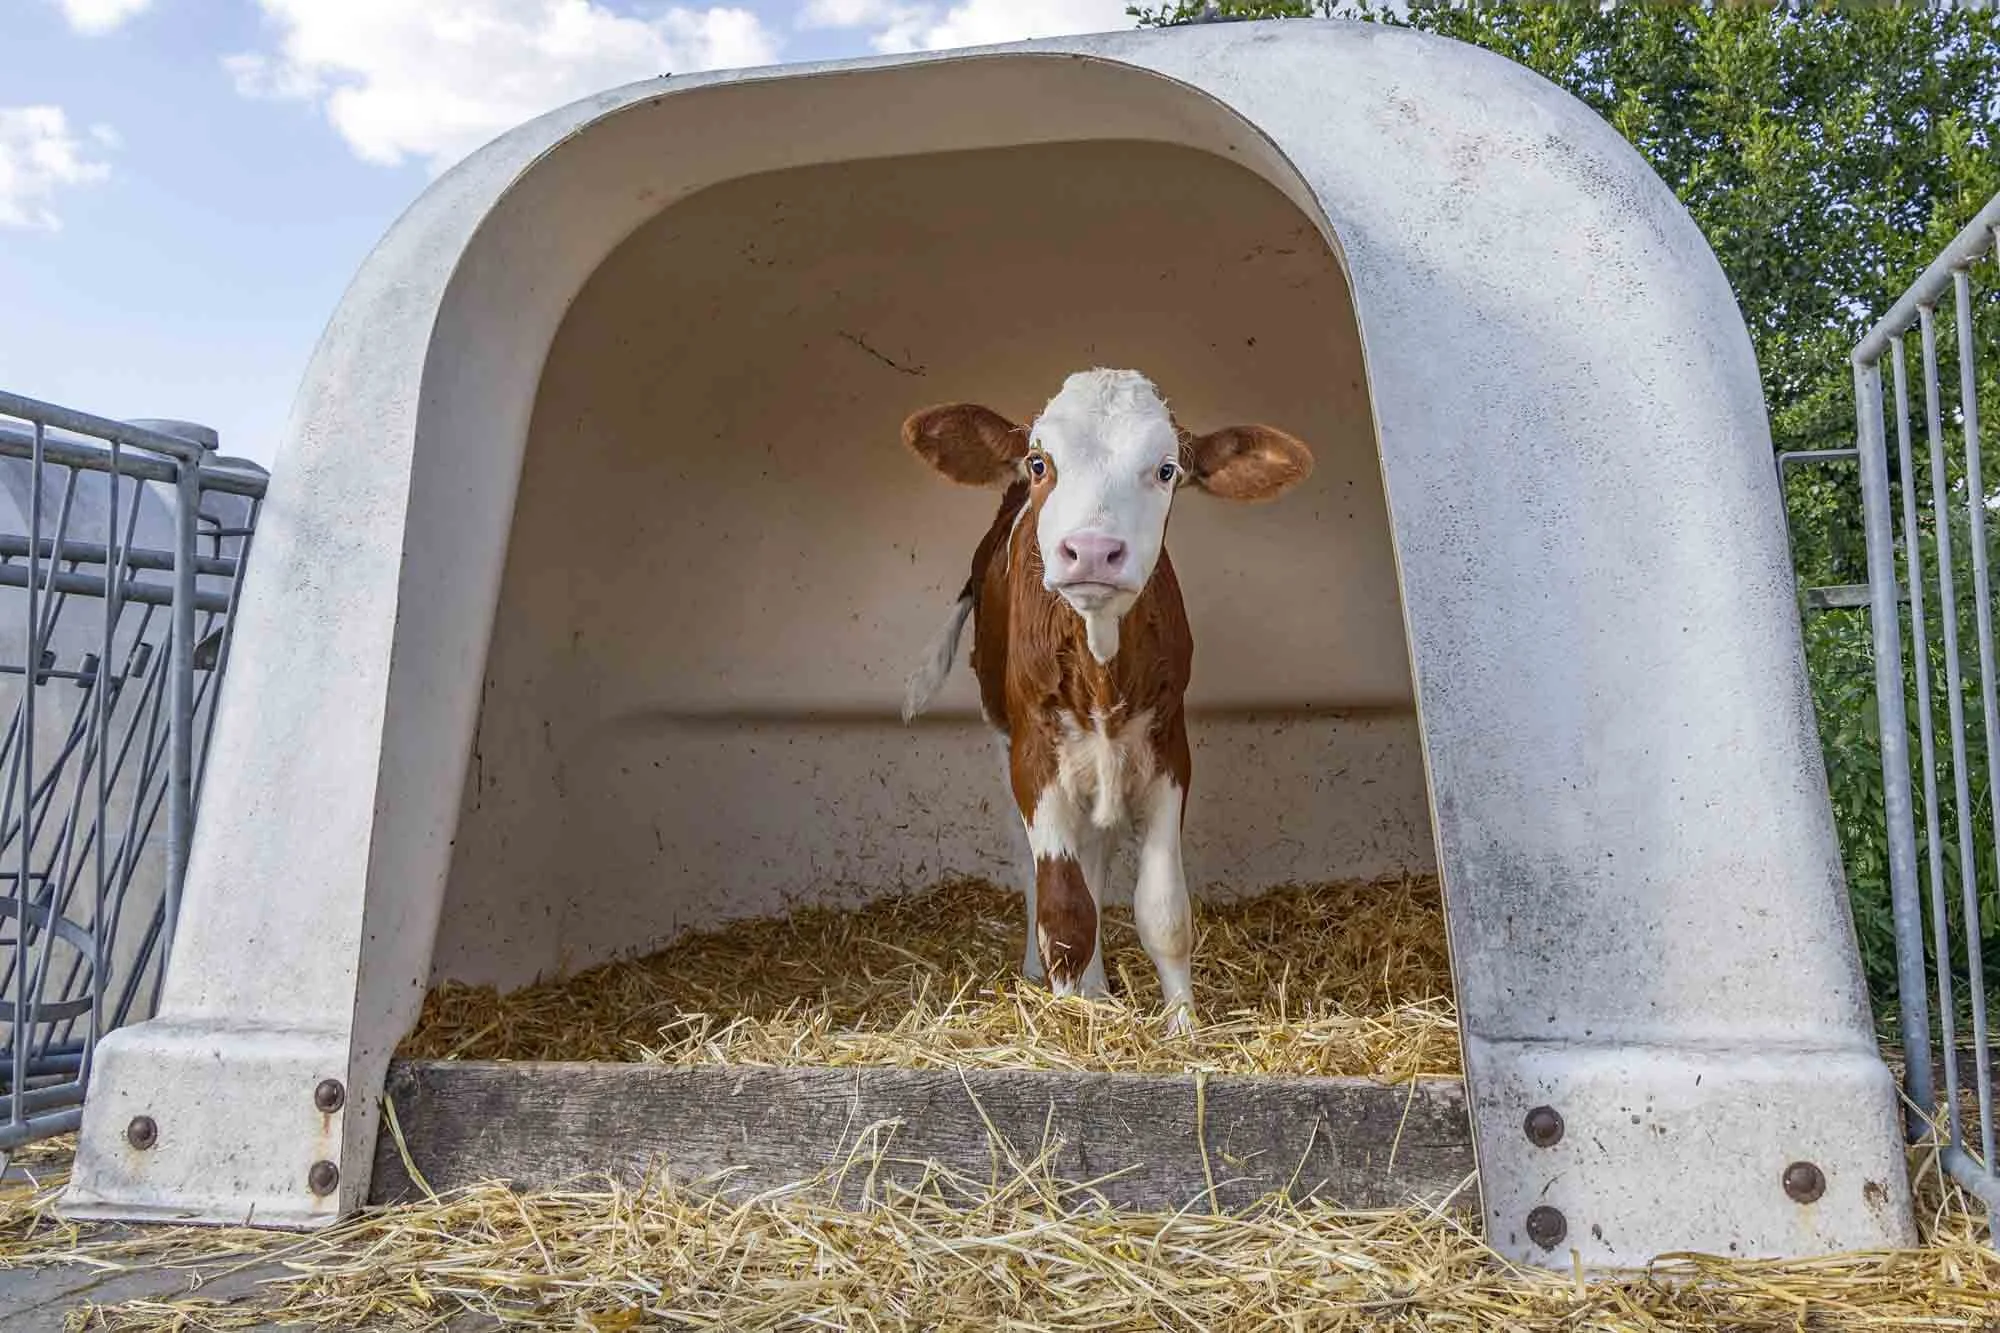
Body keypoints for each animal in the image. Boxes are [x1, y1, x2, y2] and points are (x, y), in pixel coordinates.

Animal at [899, 368, 1314, 1032]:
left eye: (1167, 469)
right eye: (1040, 462)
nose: (1093, 550)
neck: (1099, 661)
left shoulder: (1169, 748)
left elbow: (1163, 910)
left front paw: (1181, 1027)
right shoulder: (1033, 753)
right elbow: (1064, 910)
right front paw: (1072, 1023)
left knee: (1096, 851)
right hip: (1005, 734)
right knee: (1040, 867)